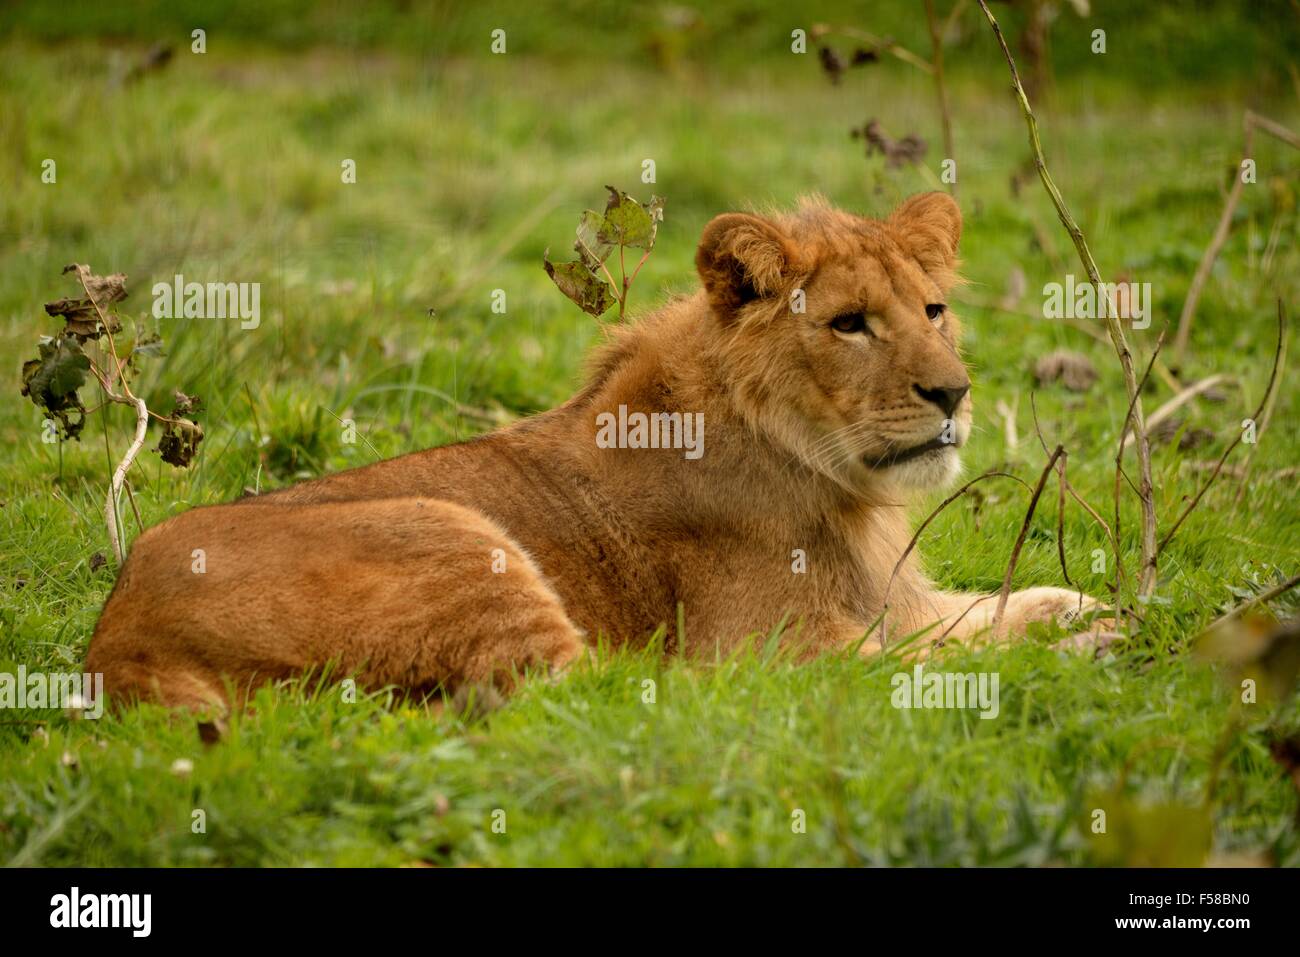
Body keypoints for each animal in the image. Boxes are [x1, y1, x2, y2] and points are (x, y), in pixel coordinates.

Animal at [87, 192, 1102, 709]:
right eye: (850, 324)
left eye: (933, 310)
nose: (953, 393)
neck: (832, 477)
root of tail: (117, 640)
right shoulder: (782, 648)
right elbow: (941, 663)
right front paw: (1088, 649)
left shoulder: (895, 598)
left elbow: (997, 607)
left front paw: (1097, 611)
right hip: (453, 530)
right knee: (602, 696)